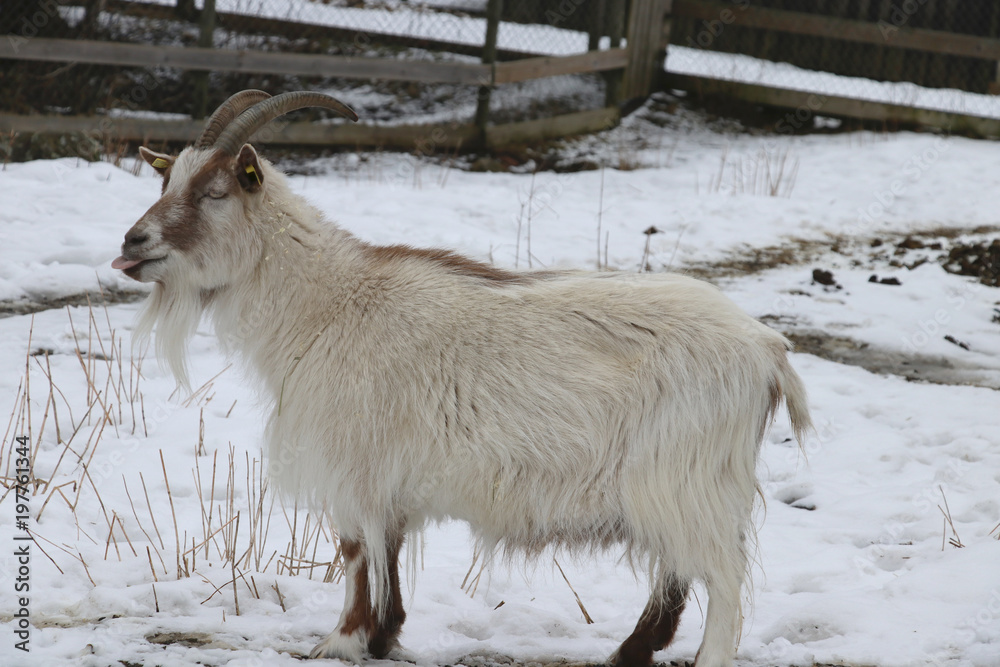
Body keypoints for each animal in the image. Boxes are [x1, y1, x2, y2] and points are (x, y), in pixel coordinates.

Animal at [113, 90, 812, 667]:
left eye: (215, 192)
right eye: (167, 178)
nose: (131, 242)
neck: (329, 302)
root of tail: (767, 348)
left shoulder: (352, 462)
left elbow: (356, 550)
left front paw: (341, 640)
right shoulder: (385, 477)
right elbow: (387, 549)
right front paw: (385, 635)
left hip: (686, 479)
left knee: (720, 579)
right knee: (678, 572)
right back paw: (628, 652)